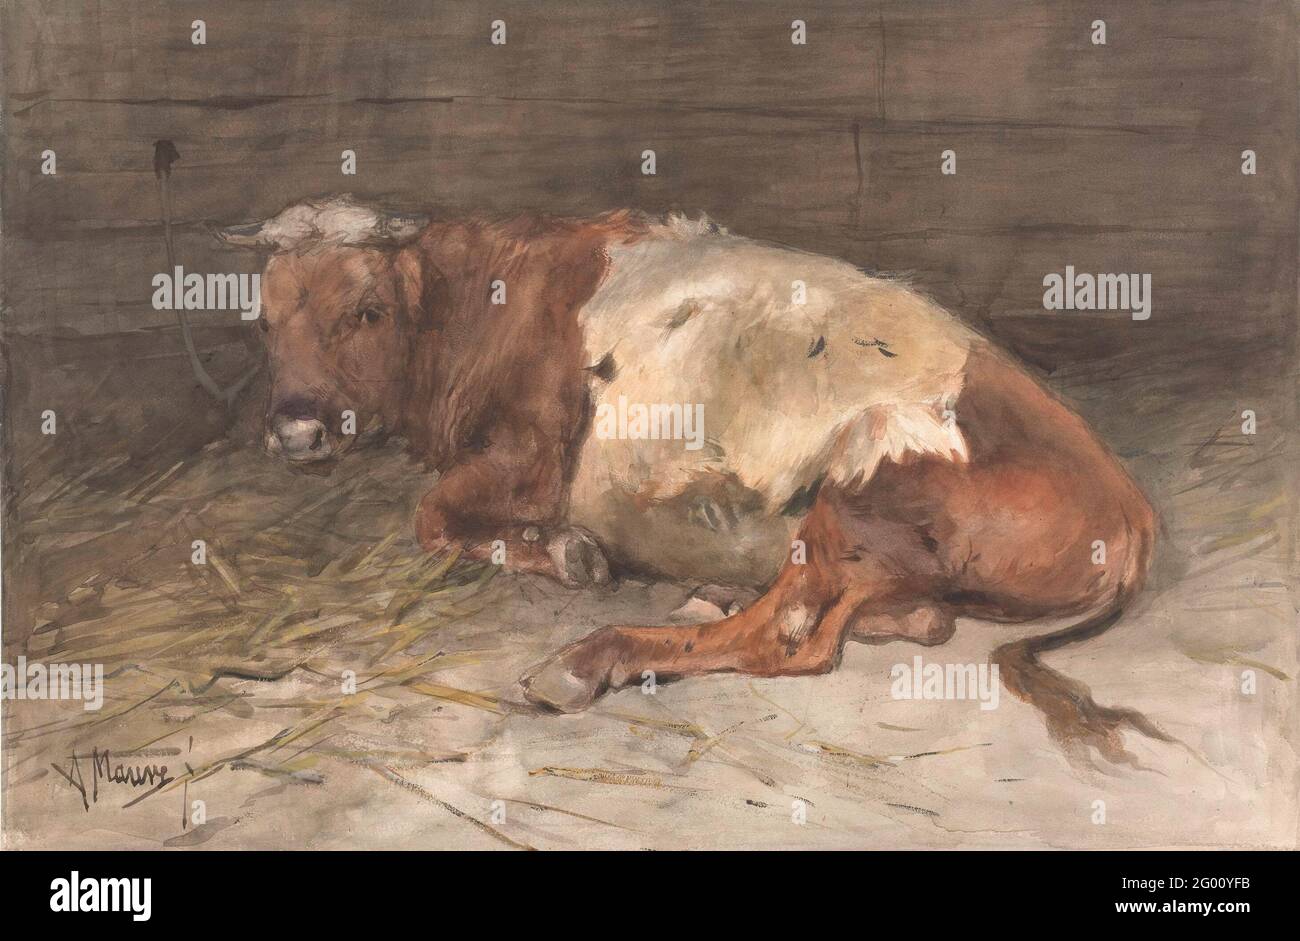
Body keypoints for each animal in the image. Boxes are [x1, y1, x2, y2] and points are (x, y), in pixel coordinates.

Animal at [217, 195, 1164, 764]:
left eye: (366, 310)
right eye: (261, 321)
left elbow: (433, 518)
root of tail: (1129, 503)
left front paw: (570, 555)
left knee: (791, 636)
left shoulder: (527, 459)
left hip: (860, 483)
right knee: (909, 617)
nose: (295, 428)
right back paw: (713, 593)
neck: (493, 299)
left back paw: (587, 658)